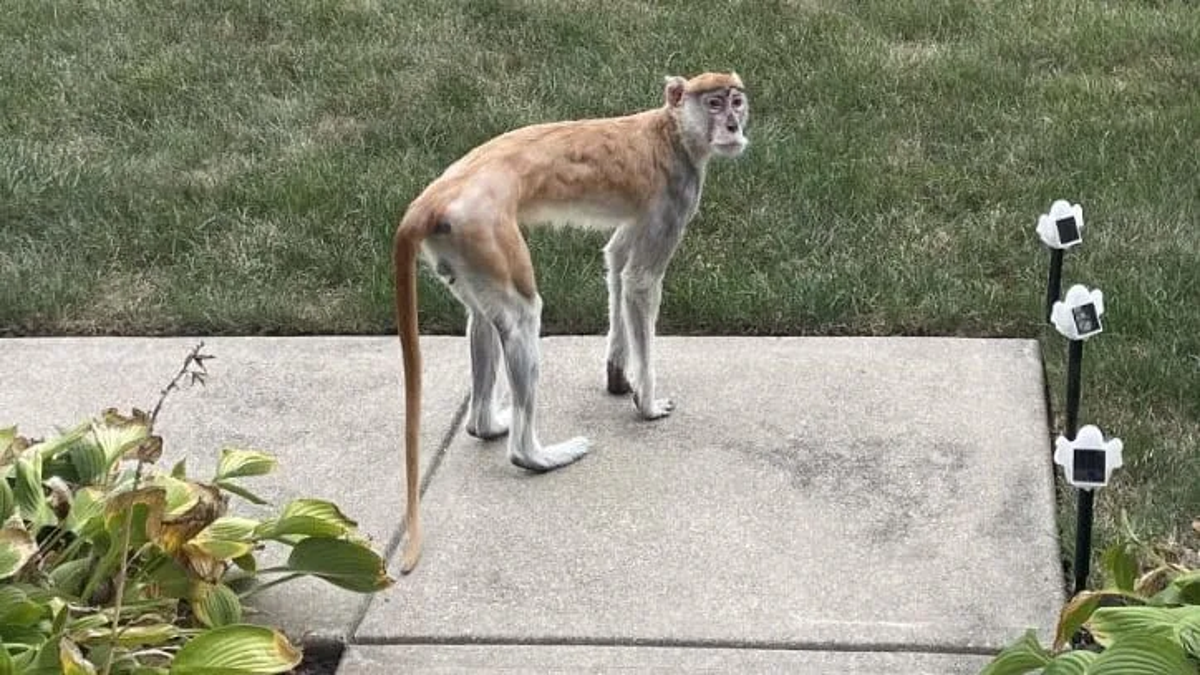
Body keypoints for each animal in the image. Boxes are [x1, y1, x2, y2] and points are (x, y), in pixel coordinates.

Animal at [393, 72, 749, 573]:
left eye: (737, 100)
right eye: (714, 104)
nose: (734, 125)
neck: (671, 129)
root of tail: (433, 200)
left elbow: (617, 260)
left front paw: (618, 374)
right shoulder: (675, 193)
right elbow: (640, 281)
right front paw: (647, 402)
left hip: (459, 246)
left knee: (482, 319)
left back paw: (486, 424)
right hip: (485, 231)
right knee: (522, 316)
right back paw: (534, 455)